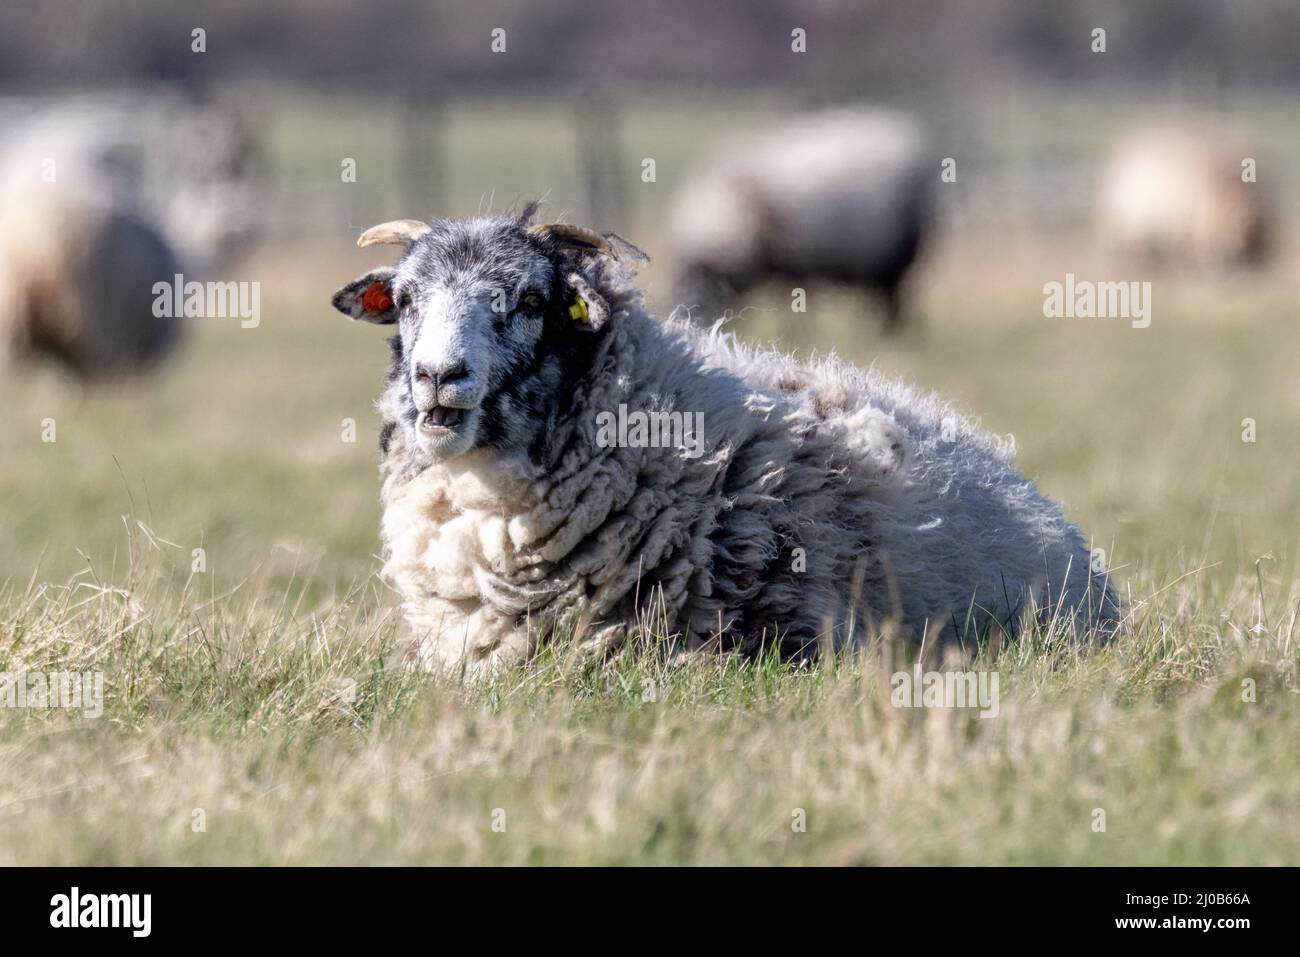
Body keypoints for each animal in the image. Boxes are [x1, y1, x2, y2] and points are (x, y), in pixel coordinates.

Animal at [667, 107, 936, 333]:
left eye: (705, 297)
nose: (691, 328)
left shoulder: (796, 263)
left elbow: (797, 305)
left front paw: (797, 333)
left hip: (900, 254)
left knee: (894, 297)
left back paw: (889, 332)